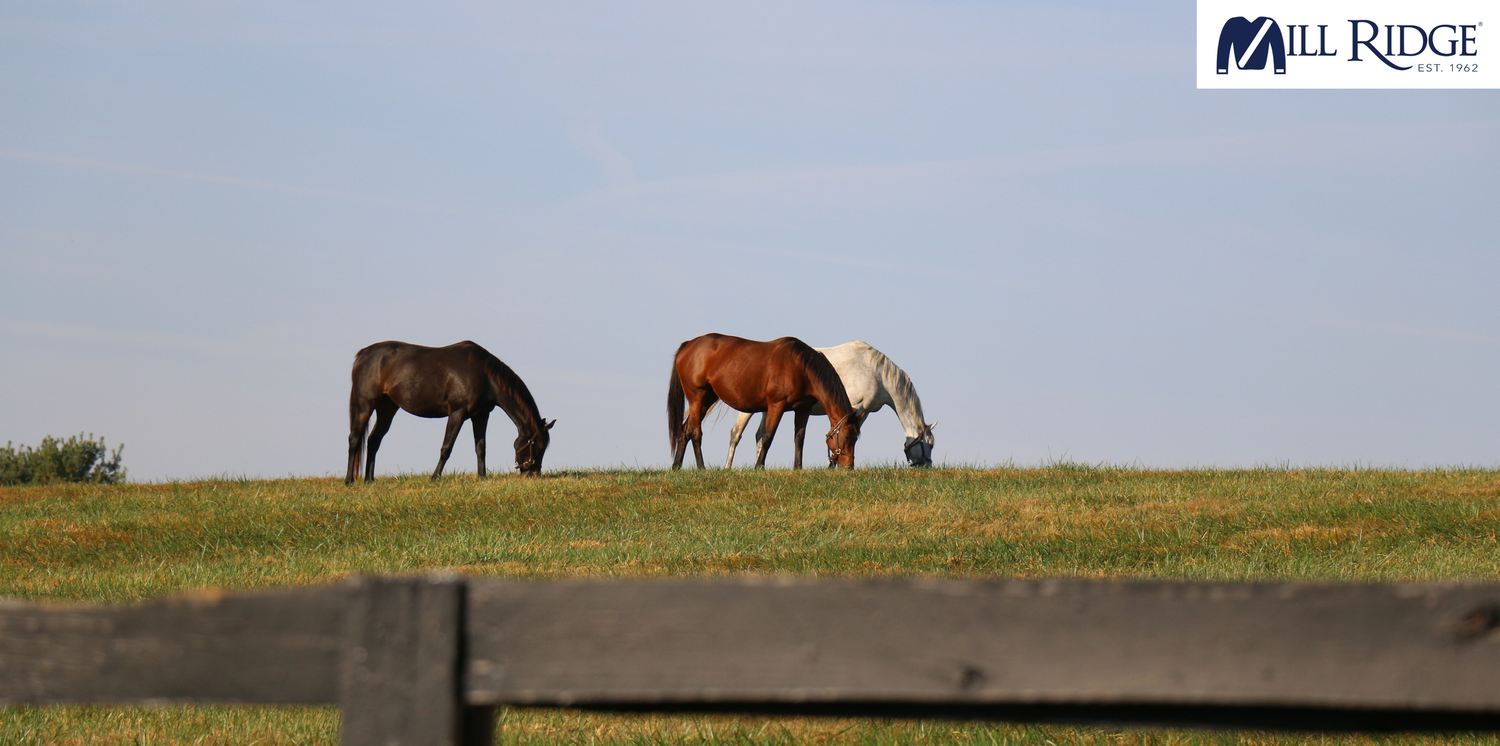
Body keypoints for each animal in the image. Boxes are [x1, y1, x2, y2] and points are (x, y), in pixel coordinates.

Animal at [346, 341, 555, 483]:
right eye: (535, 444)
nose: (533, 474)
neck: (484, 375)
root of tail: (363, 355)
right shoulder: (457, 413)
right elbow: (447, 447)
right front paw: (435, 477)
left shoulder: (481, 415)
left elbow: (481, 447)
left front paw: (482, 477)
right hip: (365, 407)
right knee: (355, 439)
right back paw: (349, 480)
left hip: (387, 409)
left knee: (374, 440)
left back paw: (369, 480)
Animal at [668, 334, 861, 470]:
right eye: (847, 436)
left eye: (856, 438)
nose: (849, 466)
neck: (800, 367)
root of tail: (689, 345)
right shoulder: (776, 405)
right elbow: (767, 436)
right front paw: (759, 467)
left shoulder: (803, 409)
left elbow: (799, 437)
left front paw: (798, 467)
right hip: (696, 396)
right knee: (695, 432)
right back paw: (701, 468)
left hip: (708, 398)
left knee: (685, 430)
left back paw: (676, 467)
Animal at [724, 340, 935, 468]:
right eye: (930, 445)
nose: (926, 466)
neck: (876, 374)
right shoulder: (856, 408)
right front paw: (834, 464)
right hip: (749, 408)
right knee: (736, 434)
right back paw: (728, 467)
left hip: (766, 408)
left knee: (759, 436)